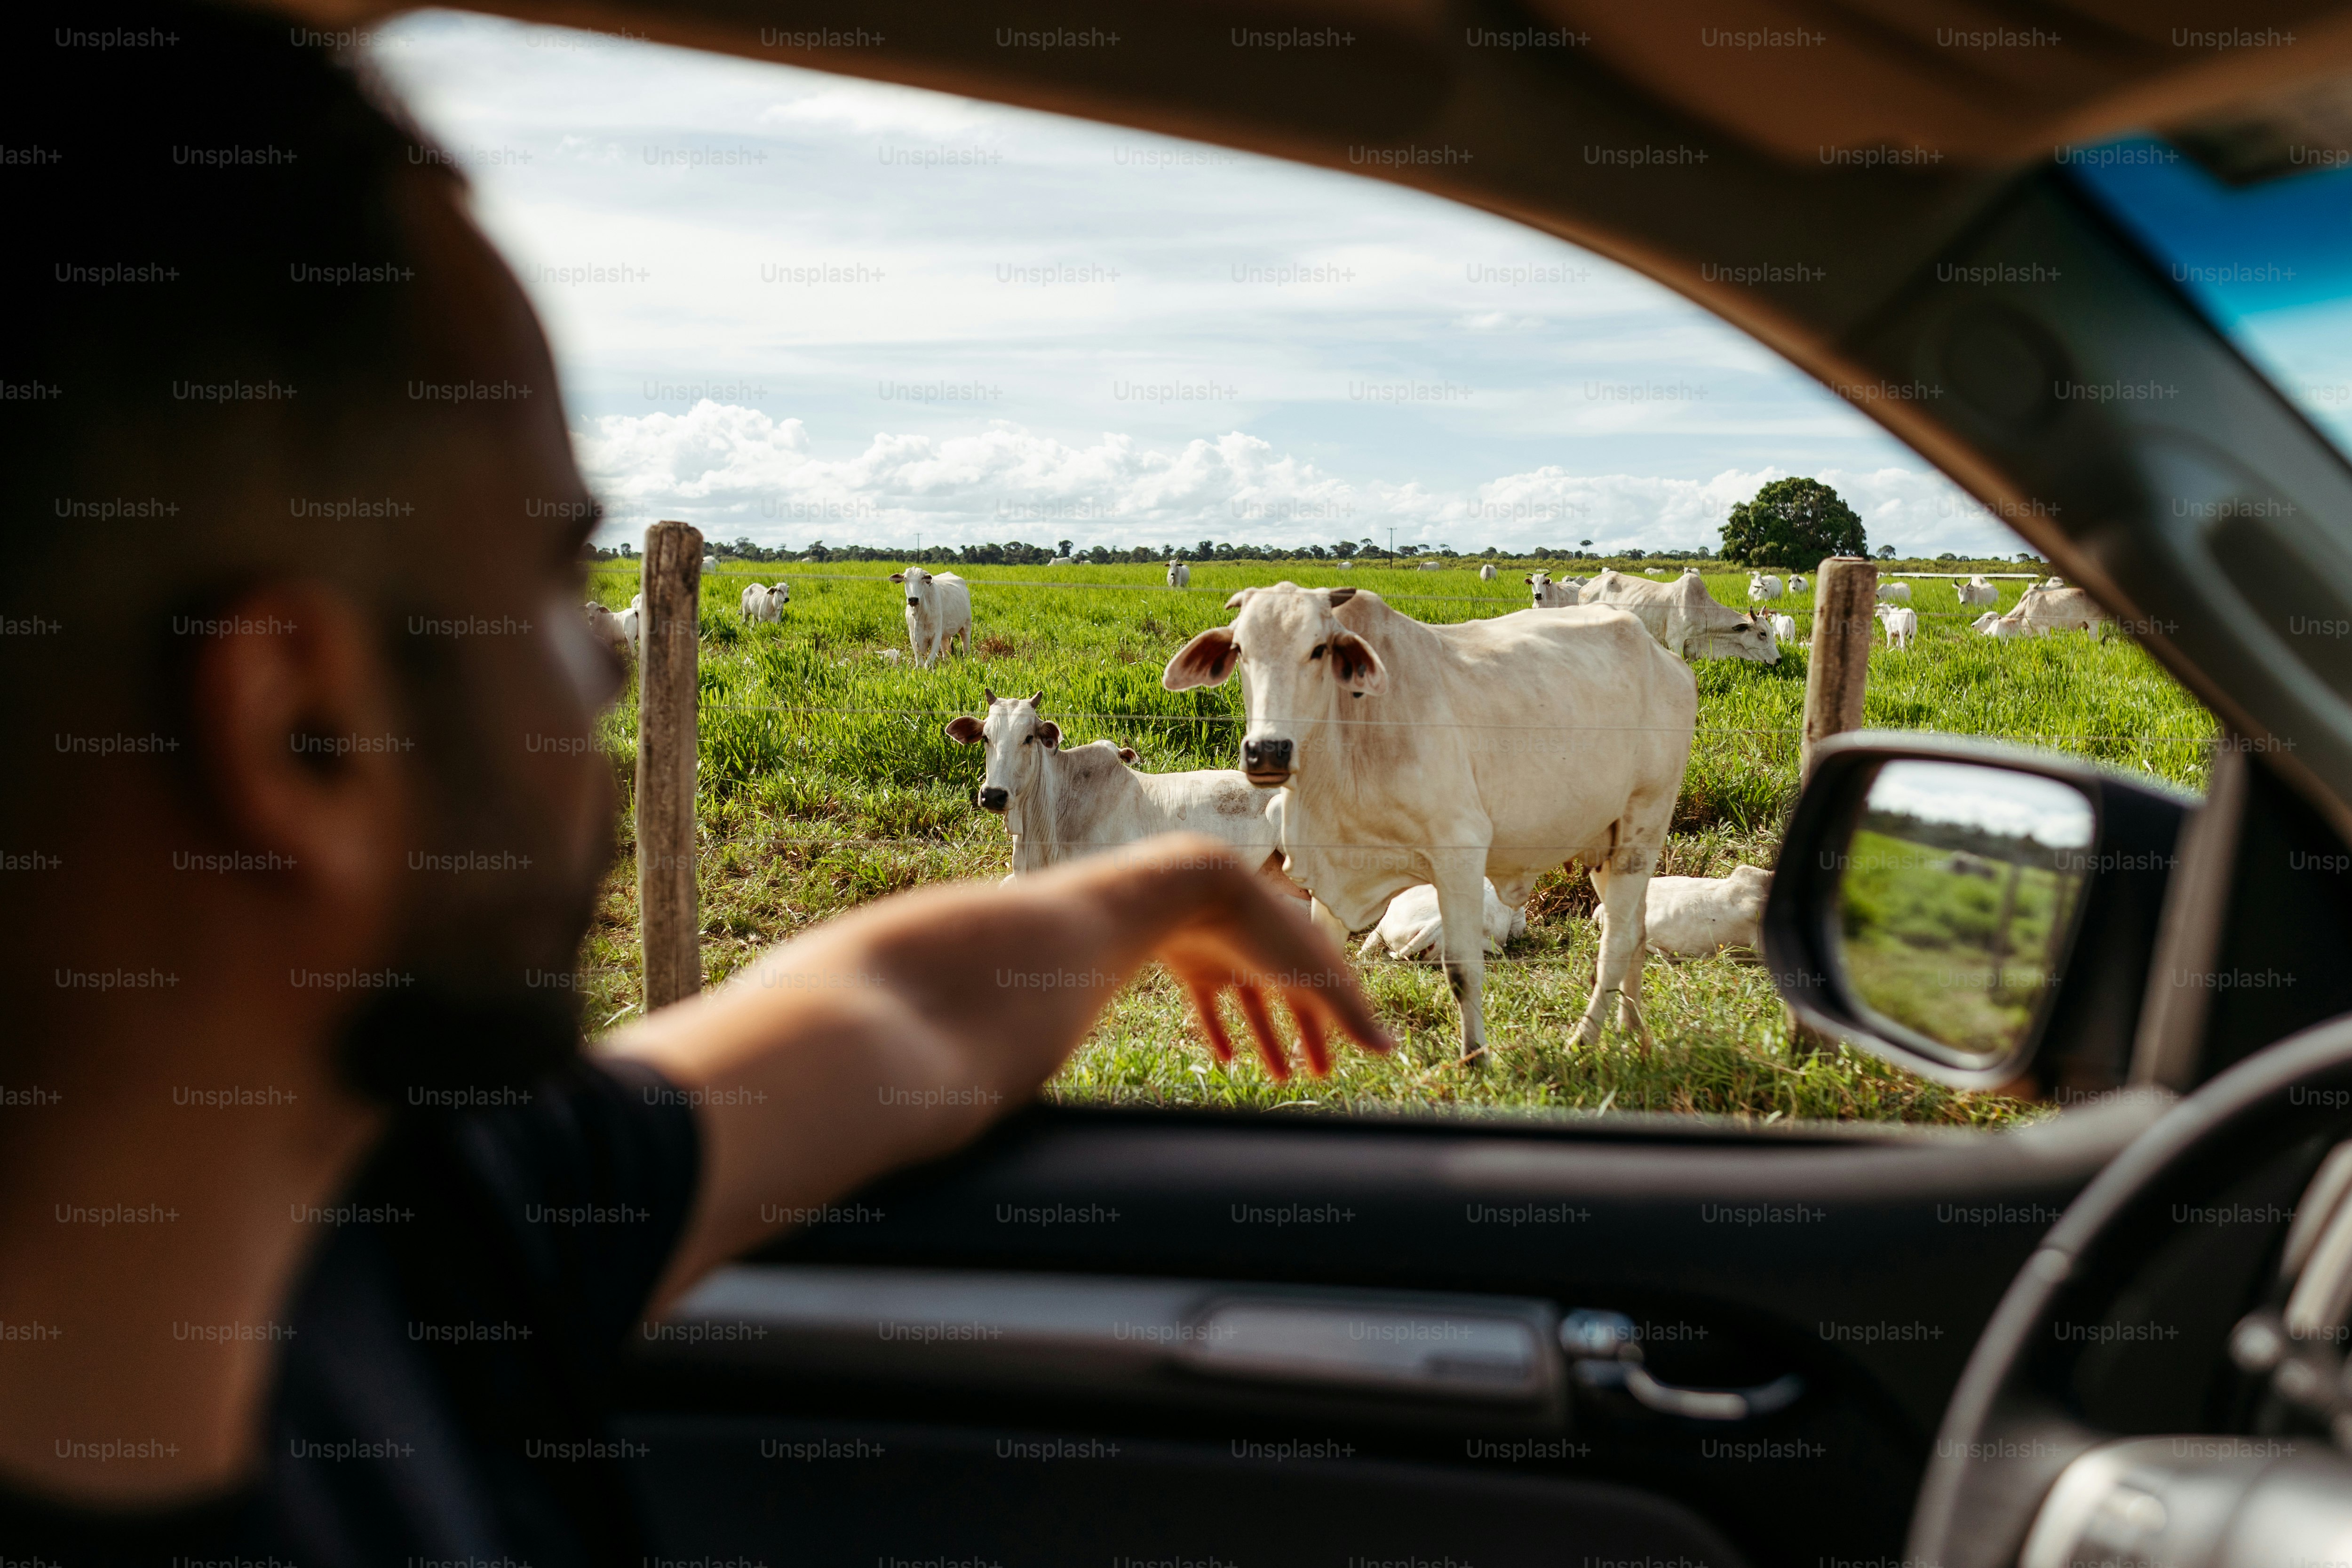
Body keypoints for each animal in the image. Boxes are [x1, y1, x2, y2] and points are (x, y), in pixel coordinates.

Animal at [889, 567, 971, 666]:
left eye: (922, 578)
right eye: (905, 578)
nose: (913, 599)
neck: (920, 614)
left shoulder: (937, 635)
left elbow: (928, 663)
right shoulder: (912, 636)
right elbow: (920, 662)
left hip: (967, 625)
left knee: (966, 647)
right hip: (944, 635)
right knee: (946, 651)